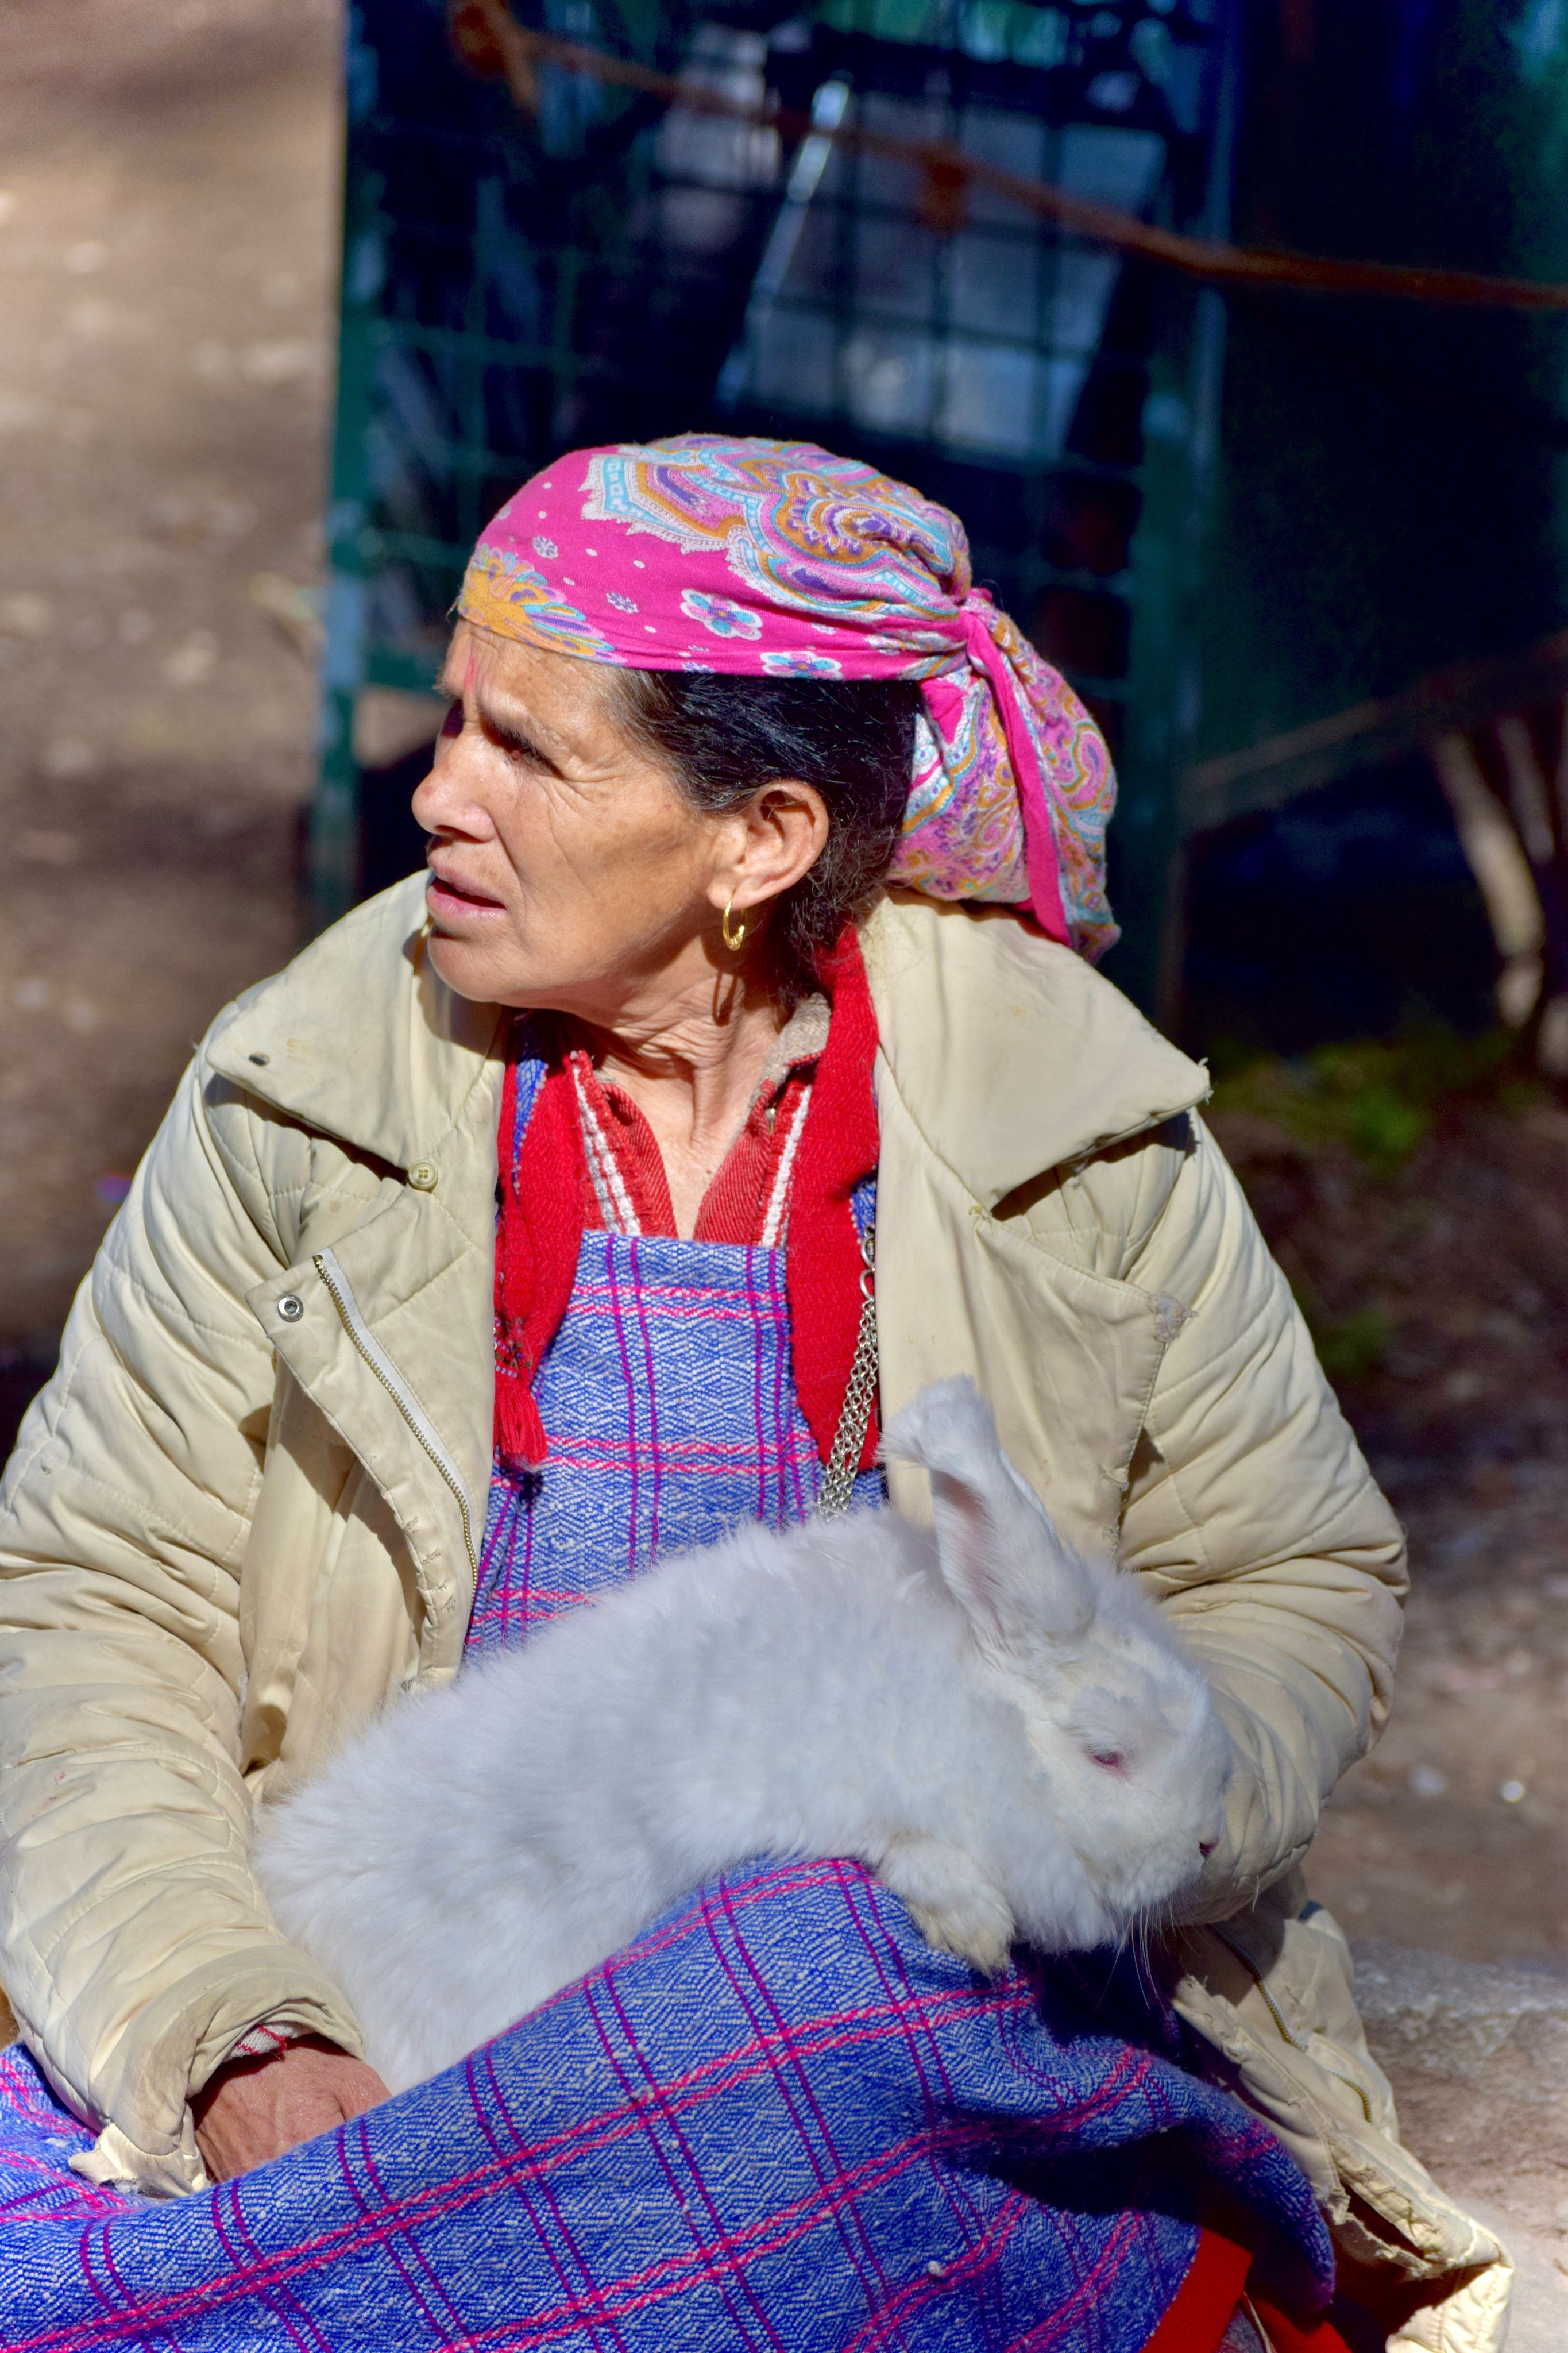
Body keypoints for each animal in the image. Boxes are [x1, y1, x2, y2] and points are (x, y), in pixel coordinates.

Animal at [253, 1377, 1232, 2093]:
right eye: (1105, 1755)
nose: (1205, 1845)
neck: (956, 1701)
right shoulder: (815, 1793)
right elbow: (915, 1851)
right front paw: (976, 1933)